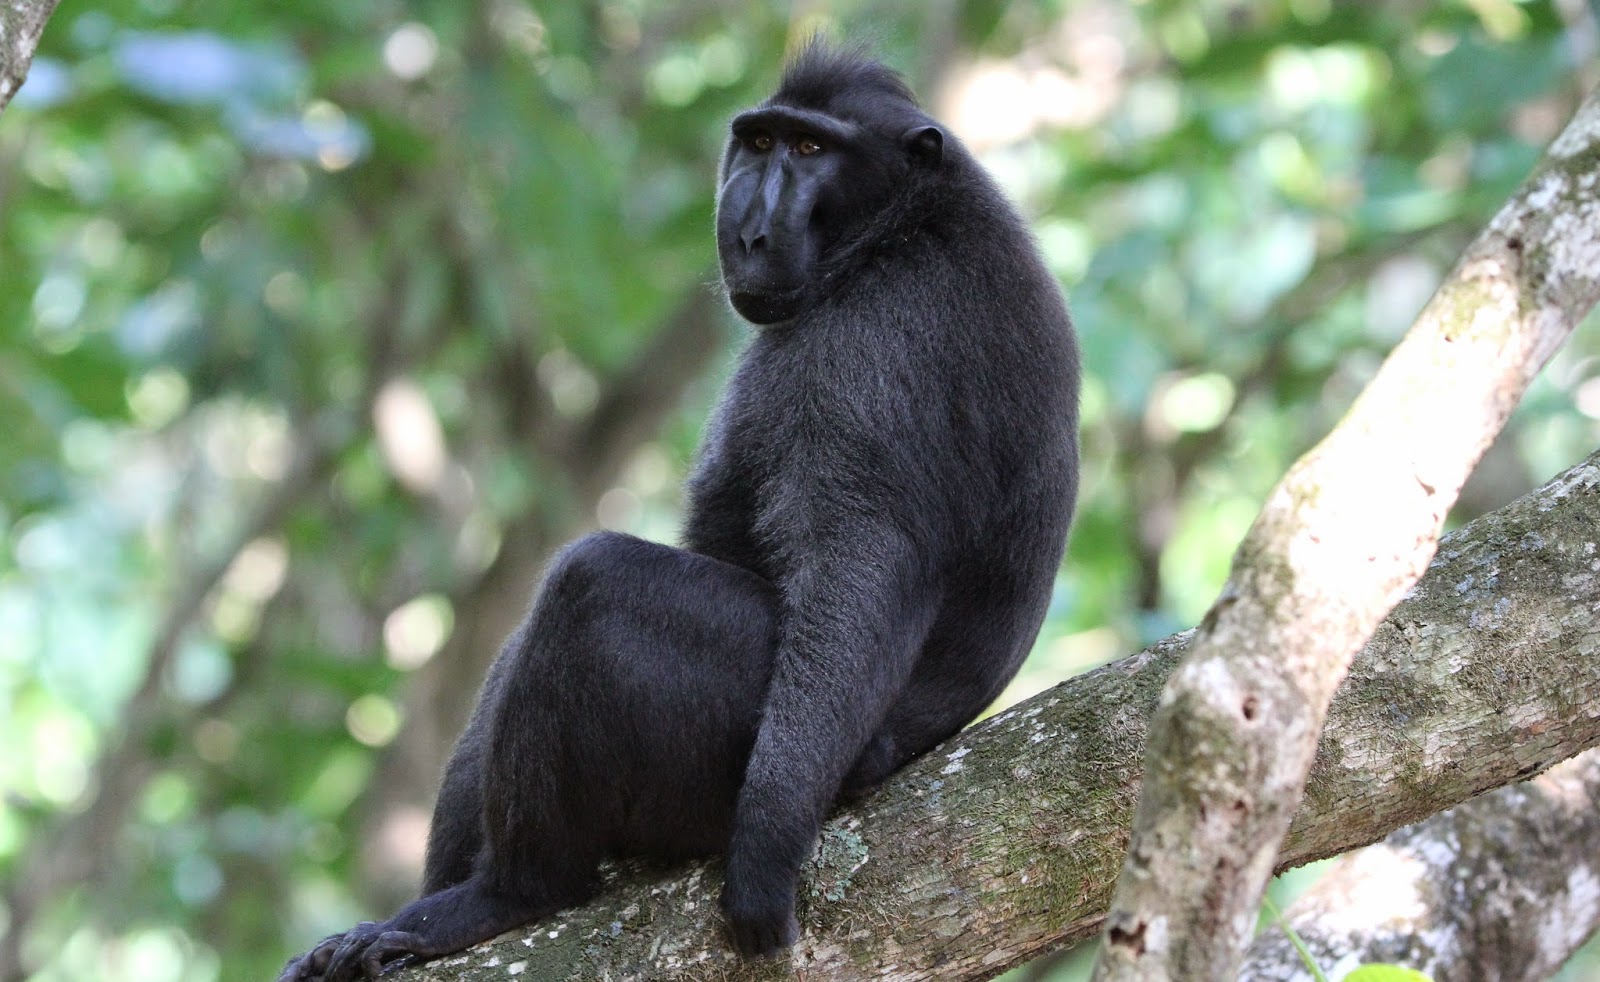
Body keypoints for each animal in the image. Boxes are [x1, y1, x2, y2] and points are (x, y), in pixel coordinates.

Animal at [279, 42, 1078, 981]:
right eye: (760, 141)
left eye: (811, 151)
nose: (748, 227)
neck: (903, 225)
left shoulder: (886, 338)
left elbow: (861, 556)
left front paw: (767, 849)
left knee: (593, 584)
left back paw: (512, 895)